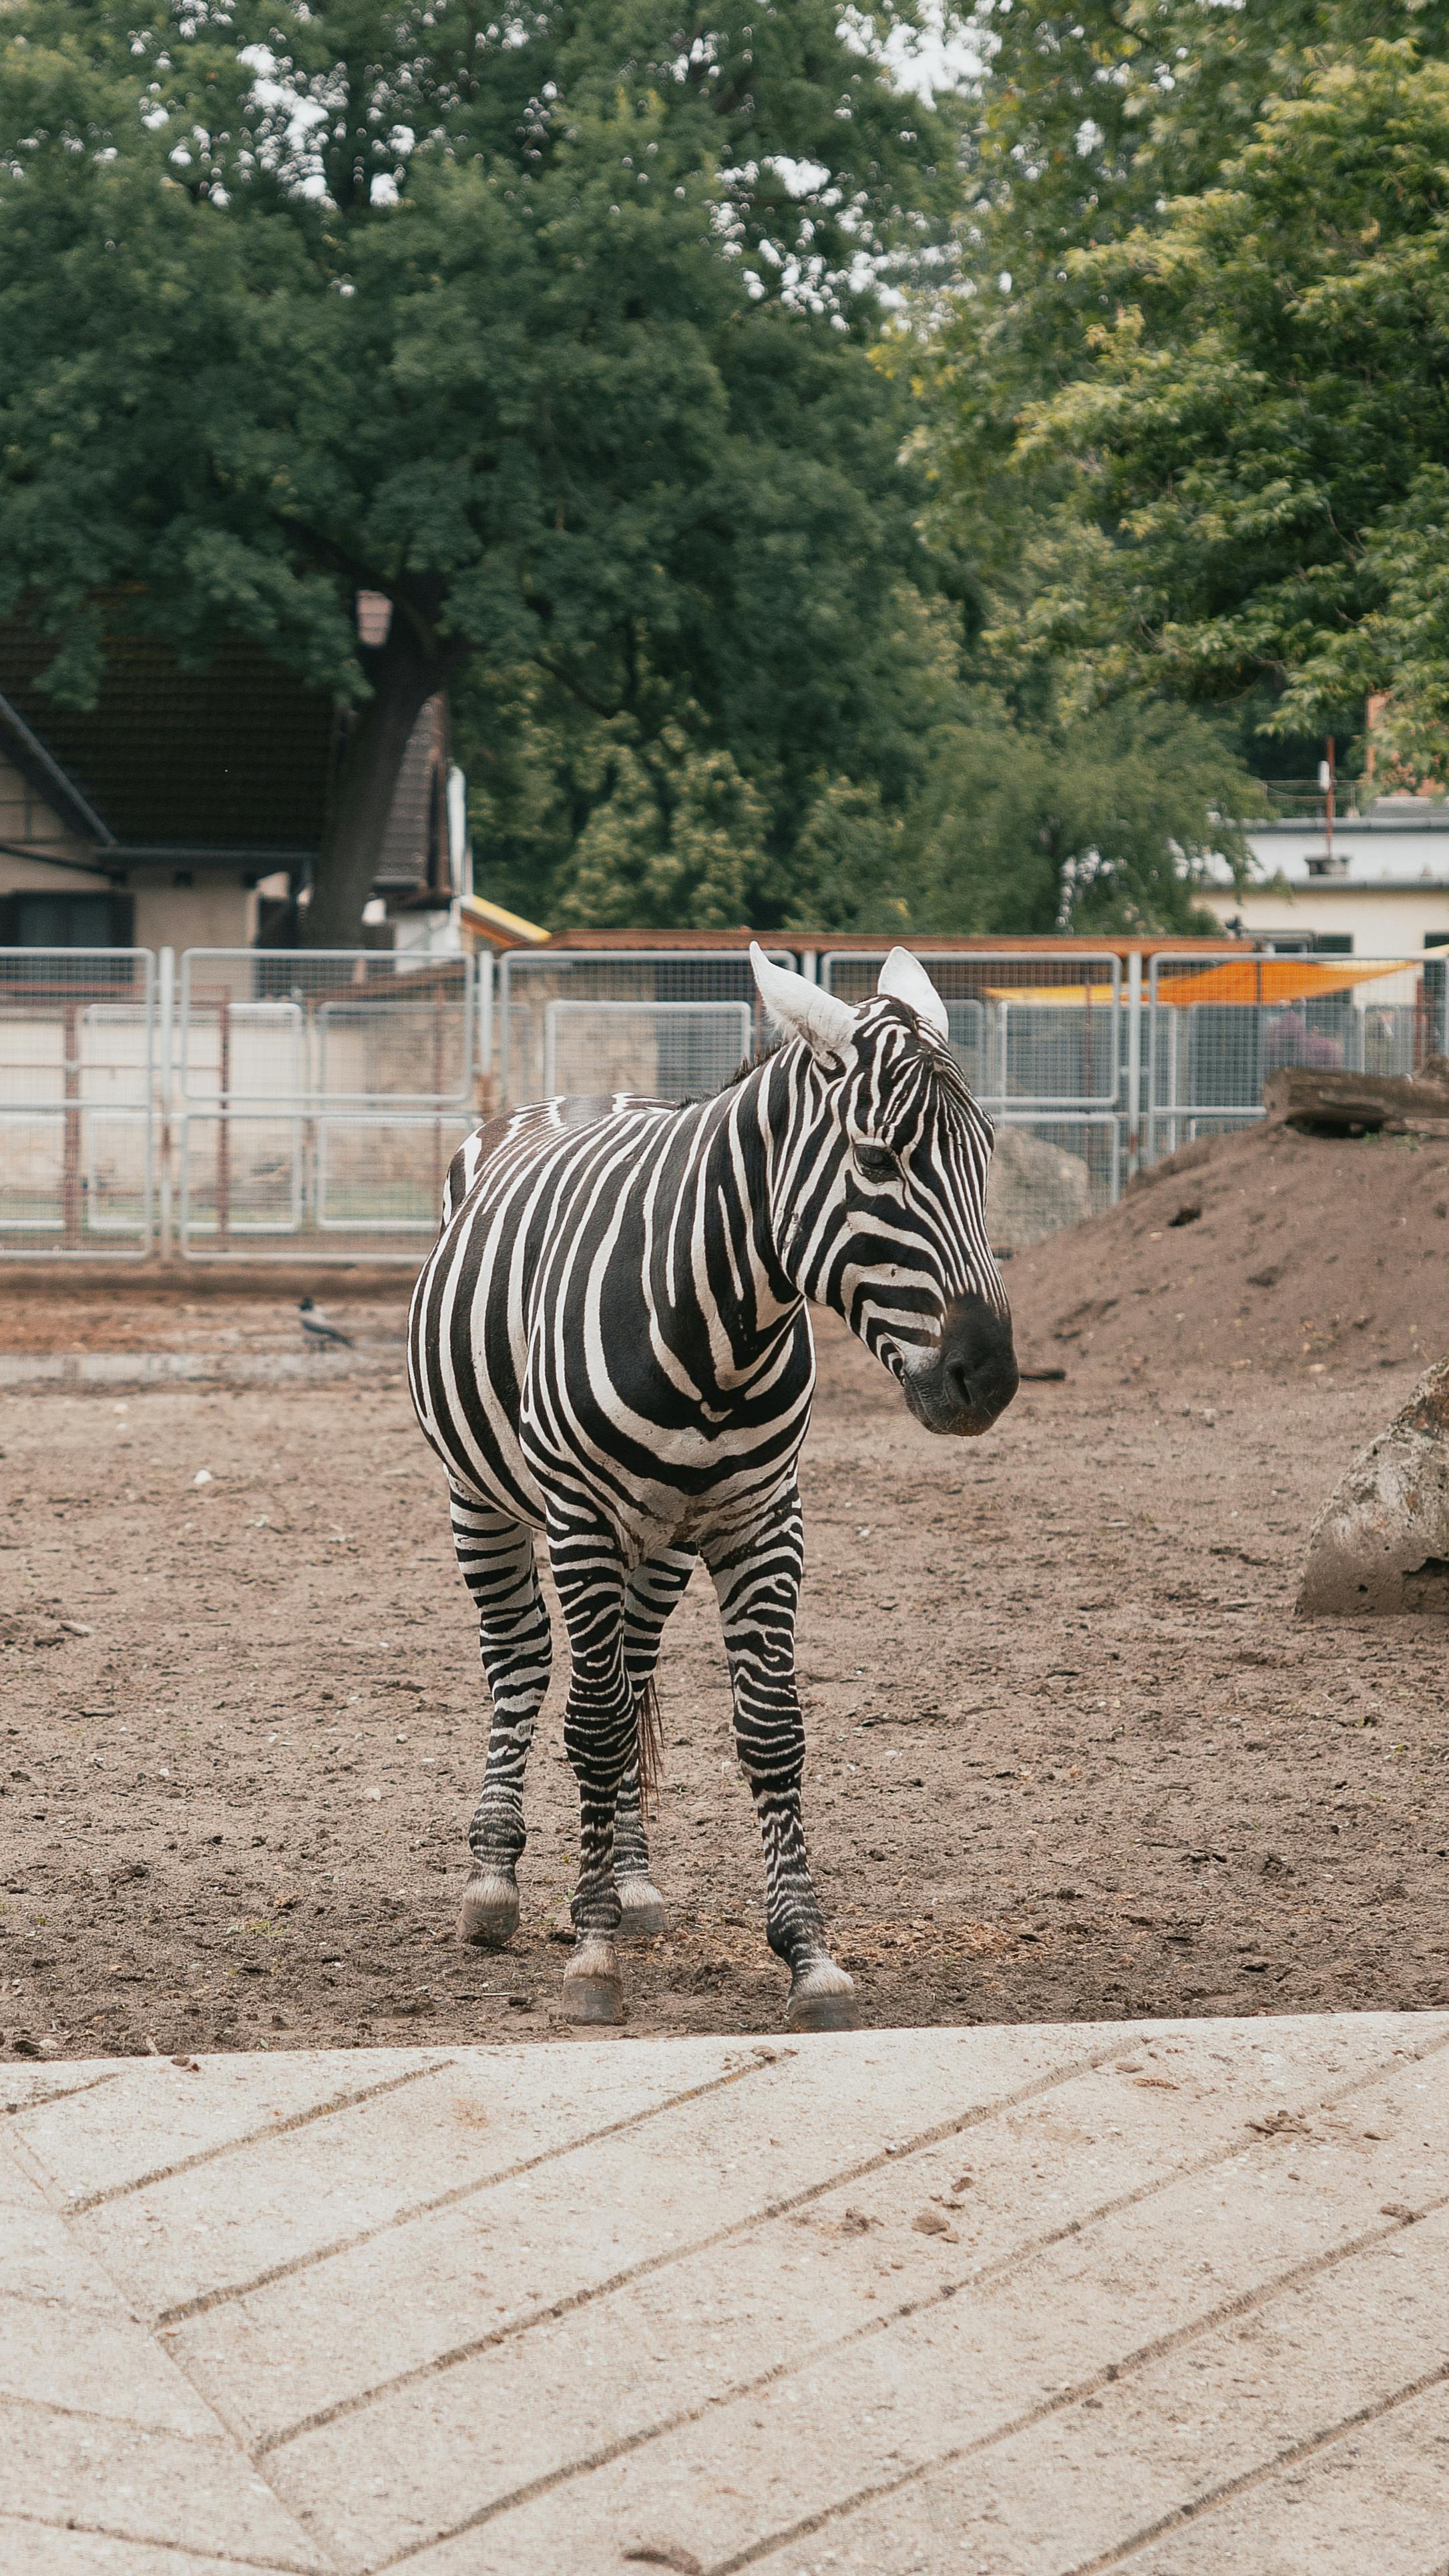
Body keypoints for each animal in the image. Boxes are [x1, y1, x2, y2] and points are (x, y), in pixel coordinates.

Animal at [408, 944, 1017, 2031]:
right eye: (877, 1161)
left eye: (982, 1158)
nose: (986, 1376)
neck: (721, 1335)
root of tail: (582, 1095)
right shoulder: (580, 1519)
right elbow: (595, 1727)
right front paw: (592, 1952)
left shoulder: (764, 1520)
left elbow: (767, 1732)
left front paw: (807, 1956)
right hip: (481, 1501)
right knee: (522, 1662)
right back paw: (495, 1879)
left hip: (663, 1539)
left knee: (634, 1667)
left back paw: (633, 1880)